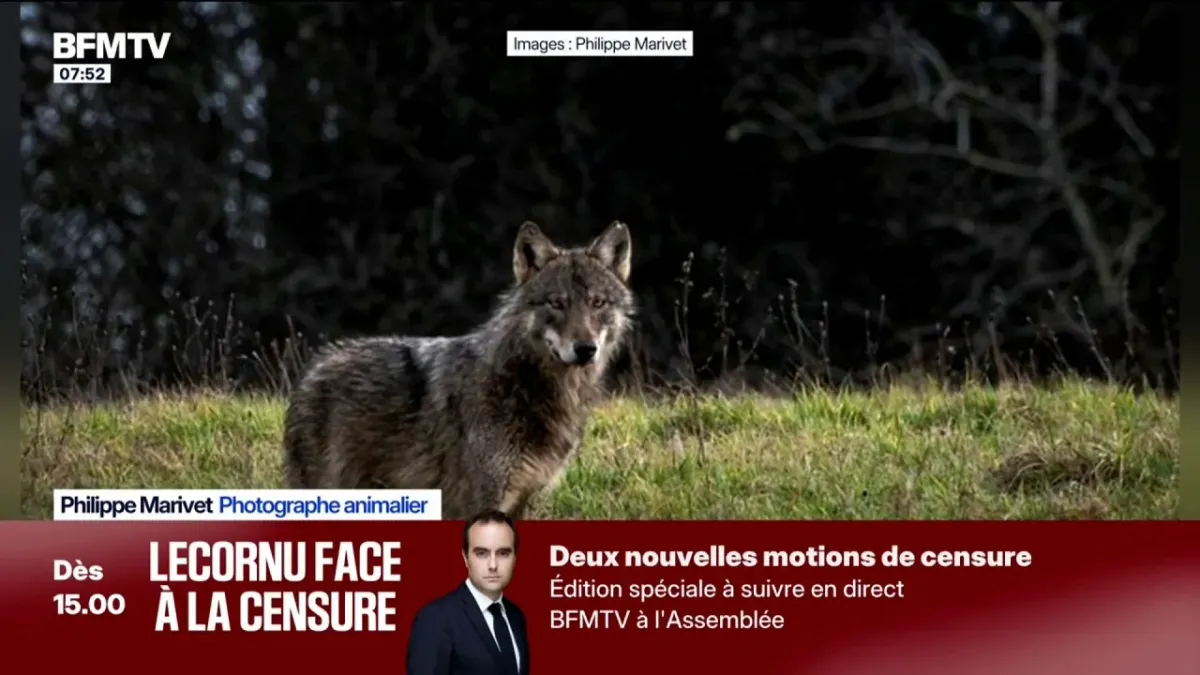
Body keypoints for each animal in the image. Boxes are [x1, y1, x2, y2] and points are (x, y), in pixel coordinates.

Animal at [281, 220, 636, 520]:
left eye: (598, 303)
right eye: (556, 304)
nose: (585, 349)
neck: (526, 385)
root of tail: (315, 367)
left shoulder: (523, 499)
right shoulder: (482, 499)